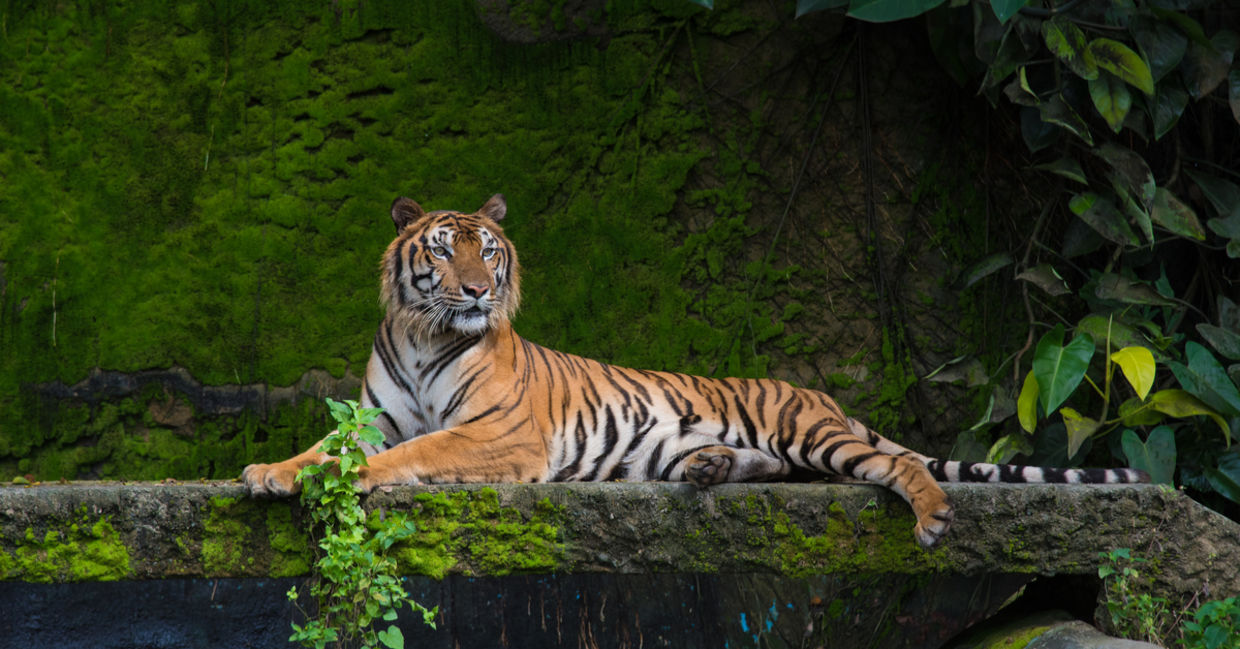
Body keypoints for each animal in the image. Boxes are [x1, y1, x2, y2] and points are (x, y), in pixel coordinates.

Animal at [241, 193, 1148, 548]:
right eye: (440, 248)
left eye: (488, 251)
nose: (474, 291)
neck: (429, 334)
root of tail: (823, 394)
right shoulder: (377, 415)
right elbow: (323, 449)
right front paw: (268, 471)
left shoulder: (499, 436)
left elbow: (411, 454)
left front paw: (351, 480)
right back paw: (709, 466)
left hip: (810, 431)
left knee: (890, 464)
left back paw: (931, 516)